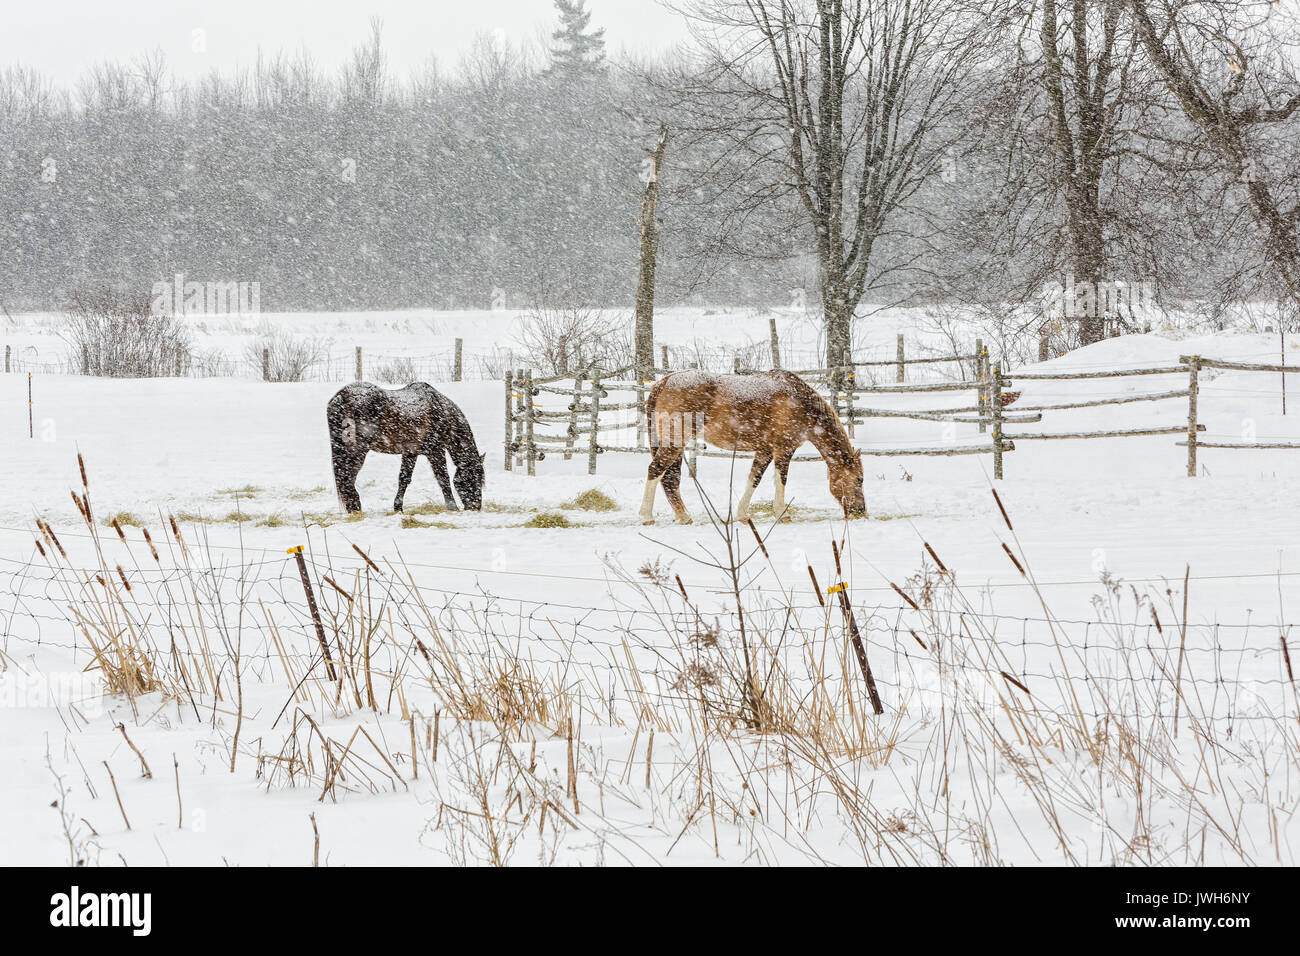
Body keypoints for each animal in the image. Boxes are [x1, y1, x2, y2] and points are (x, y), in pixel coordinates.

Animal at [327, 382, 486, 514]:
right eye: (475, 478)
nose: (476, 507)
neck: (440, 409)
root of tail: (340, 397)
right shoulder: (436, 451)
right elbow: (443, 479)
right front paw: (452, 507)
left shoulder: (410, 453)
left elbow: (404, 479)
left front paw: (398, 508)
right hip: (357, 451)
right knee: (348, 477)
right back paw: (355, 509)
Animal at [639, 369, 866, 525]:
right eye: (859, 479)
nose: (861, 511)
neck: (798, 401)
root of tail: (665, 381)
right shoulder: (784, 449)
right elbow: (781, 480)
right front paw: (781, 513)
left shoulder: (764, 451)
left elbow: (754, 479)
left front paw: (741, 514)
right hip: (674, 443)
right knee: (655, 470)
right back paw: (647, 517)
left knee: (669, 480)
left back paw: (683, 517)